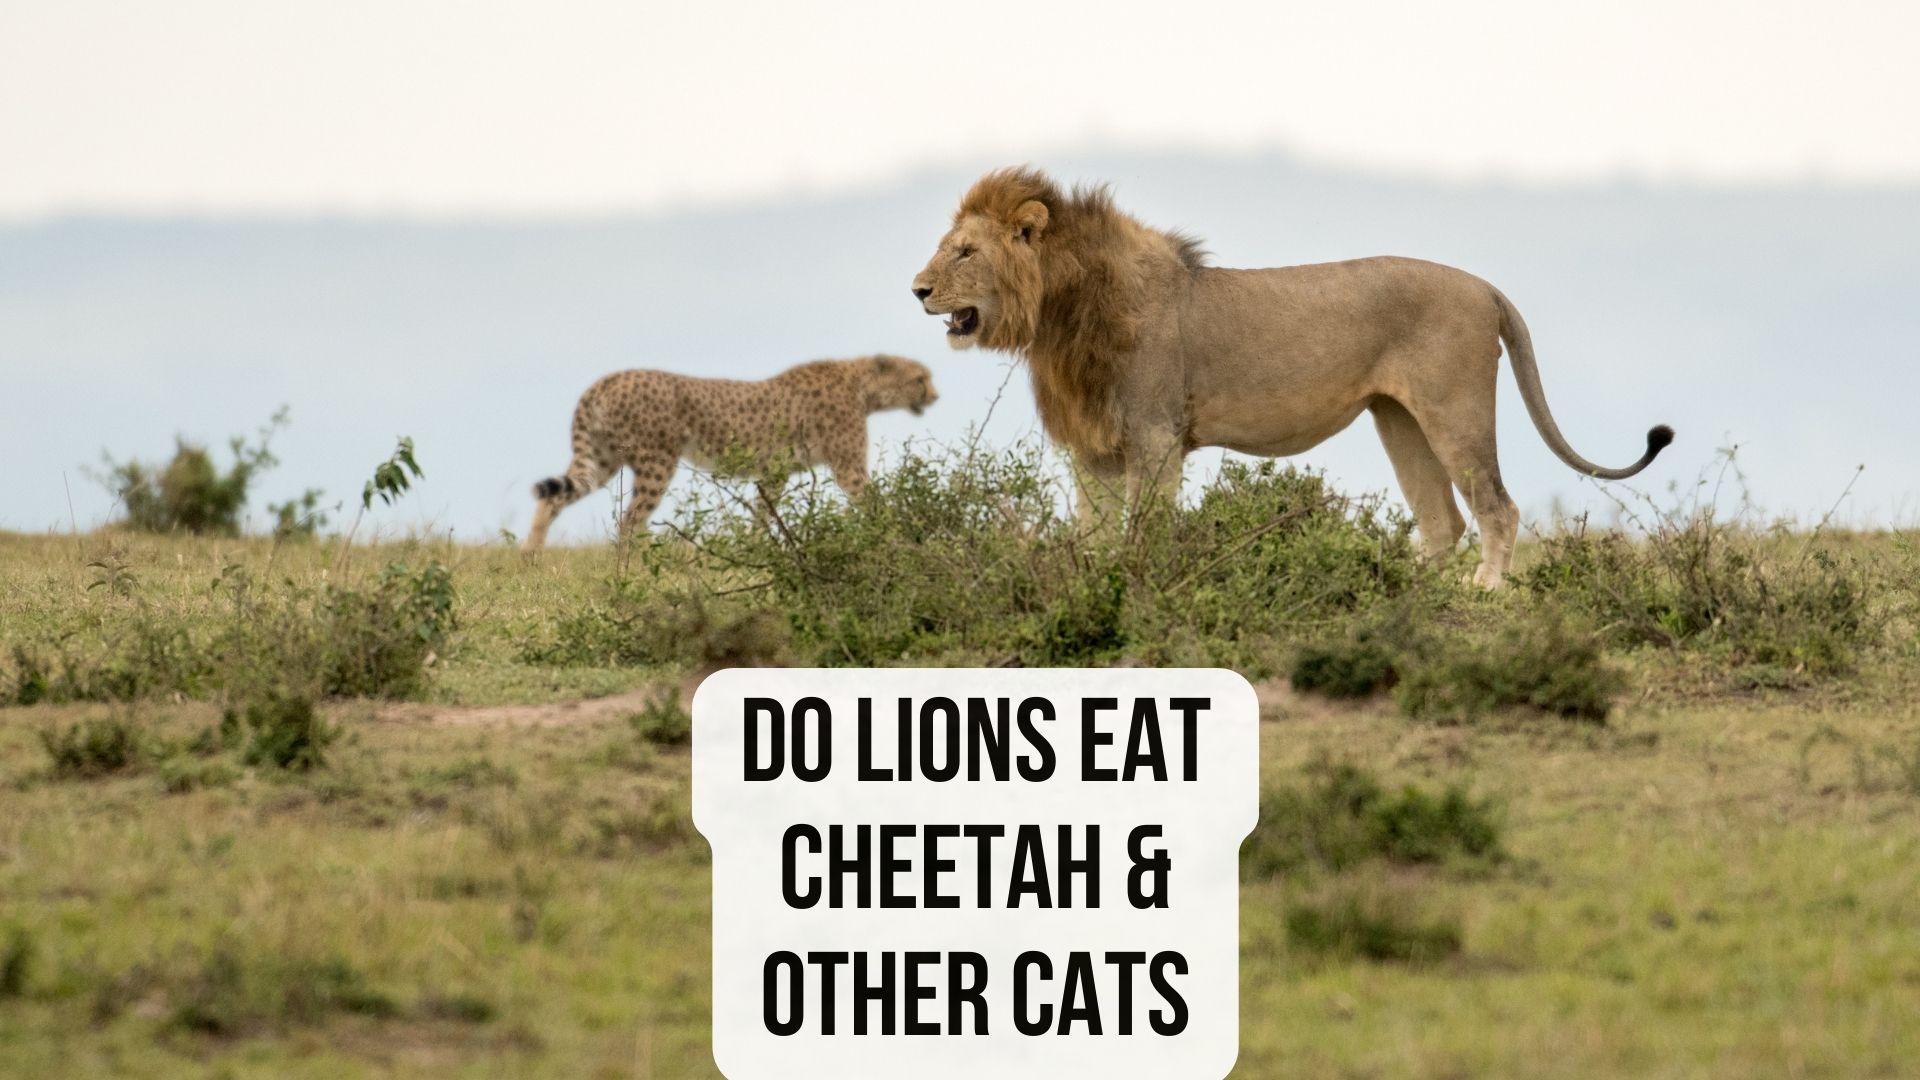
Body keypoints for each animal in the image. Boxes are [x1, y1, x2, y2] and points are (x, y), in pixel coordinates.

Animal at [910, 167, 1672, 586]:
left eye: (965, 252)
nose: (917, 290)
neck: (1061, 316)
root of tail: (1486, 287)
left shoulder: (1155, 436)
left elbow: (1144, 532)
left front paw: (1135, 584)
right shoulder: (1094, 447)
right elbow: (1093, 533)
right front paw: (1091, 582)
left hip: (1453, 409)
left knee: (1496, 506)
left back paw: (1483, 589)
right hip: (1398, 418)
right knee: (1442, 522)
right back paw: (1390, 586)